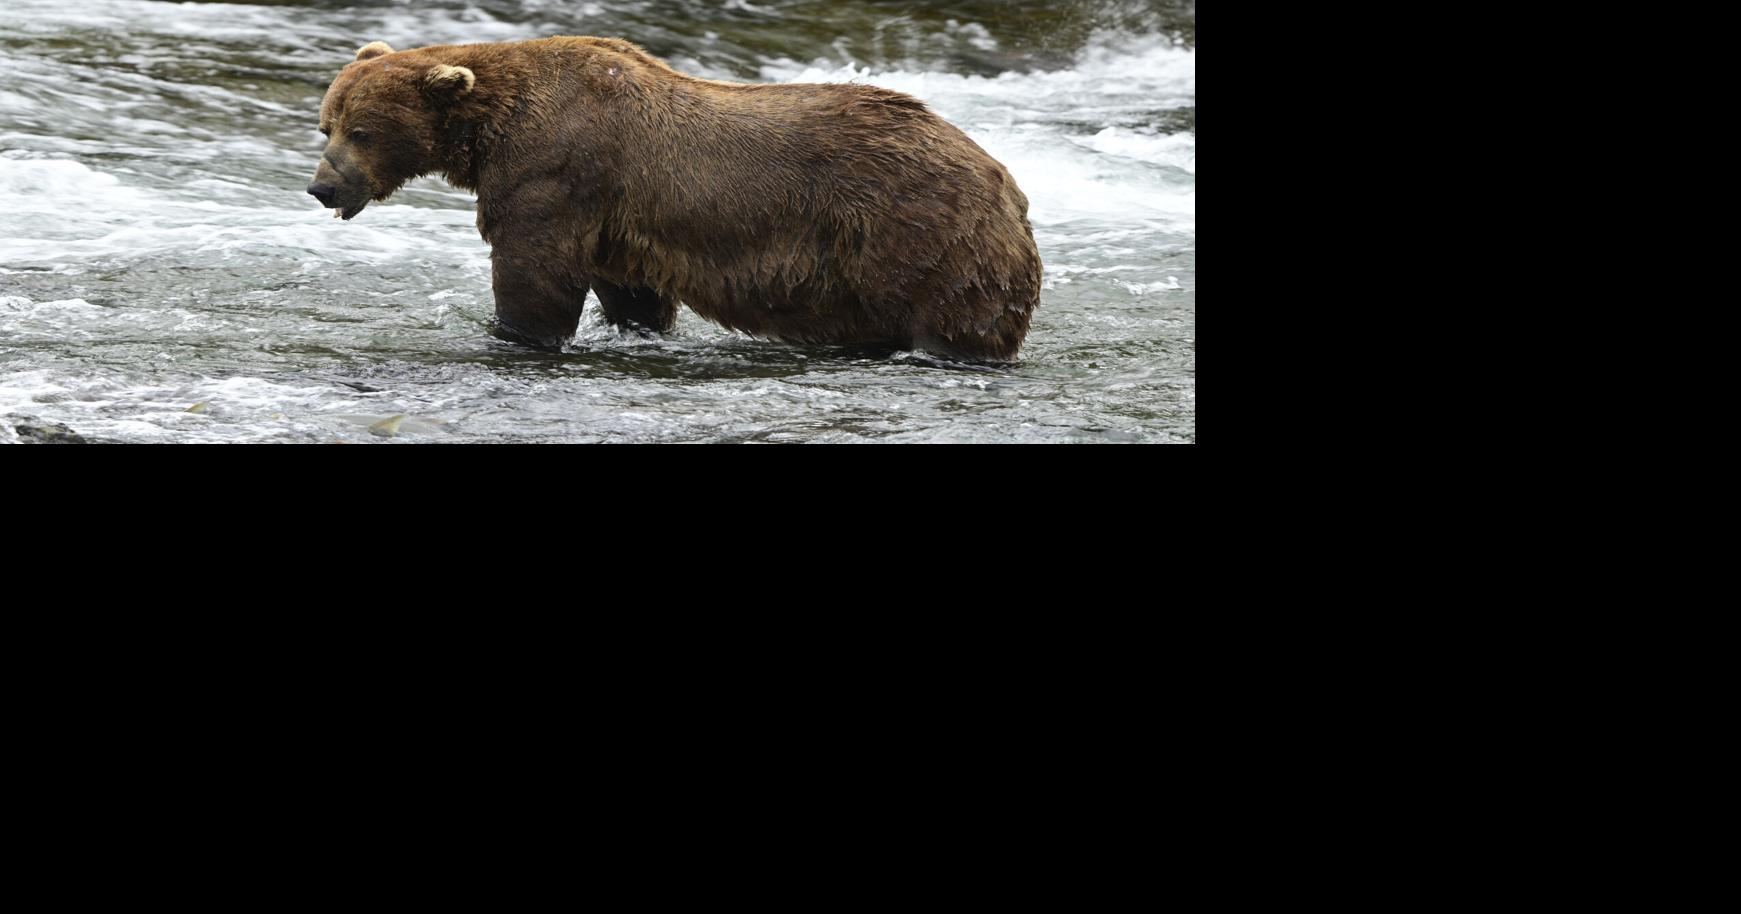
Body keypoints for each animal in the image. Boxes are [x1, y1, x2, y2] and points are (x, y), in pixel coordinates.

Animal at [308, 37, 1042, 361]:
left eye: (361, 130)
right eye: (326, 124)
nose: (322, 186)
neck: (488, 128)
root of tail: (1006, 182)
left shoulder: (554, 171)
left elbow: (533, 272)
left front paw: (514, 331)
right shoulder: (613, 218)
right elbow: (630, 291)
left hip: (919, 233)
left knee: (950, 315)